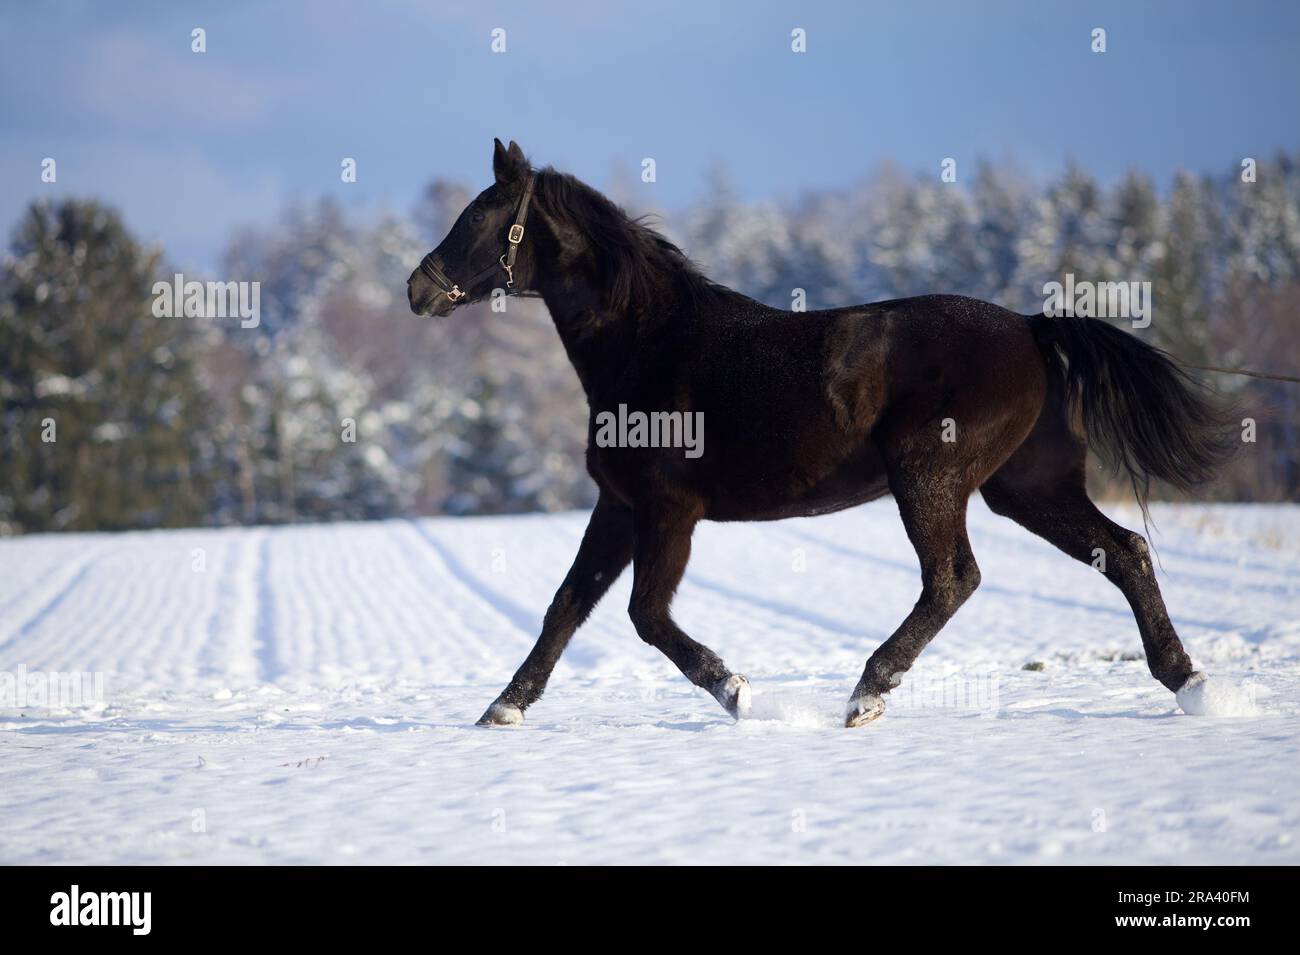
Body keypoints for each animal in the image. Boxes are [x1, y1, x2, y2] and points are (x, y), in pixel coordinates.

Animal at [407, 139, 1239, 727]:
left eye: (482, 218)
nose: (417, 288)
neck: (649, 343)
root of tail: (1033, 329)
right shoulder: (618, 504)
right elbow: (567, 604)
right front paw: (503, 706)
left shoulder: (668, 510)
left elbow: (645, 614)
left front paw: (738, 690)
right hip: (1025, 486)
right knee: (1123, 552)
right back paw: (1191, 682)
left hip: (929, 478)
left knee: (954, 577)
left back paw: (866, 693)